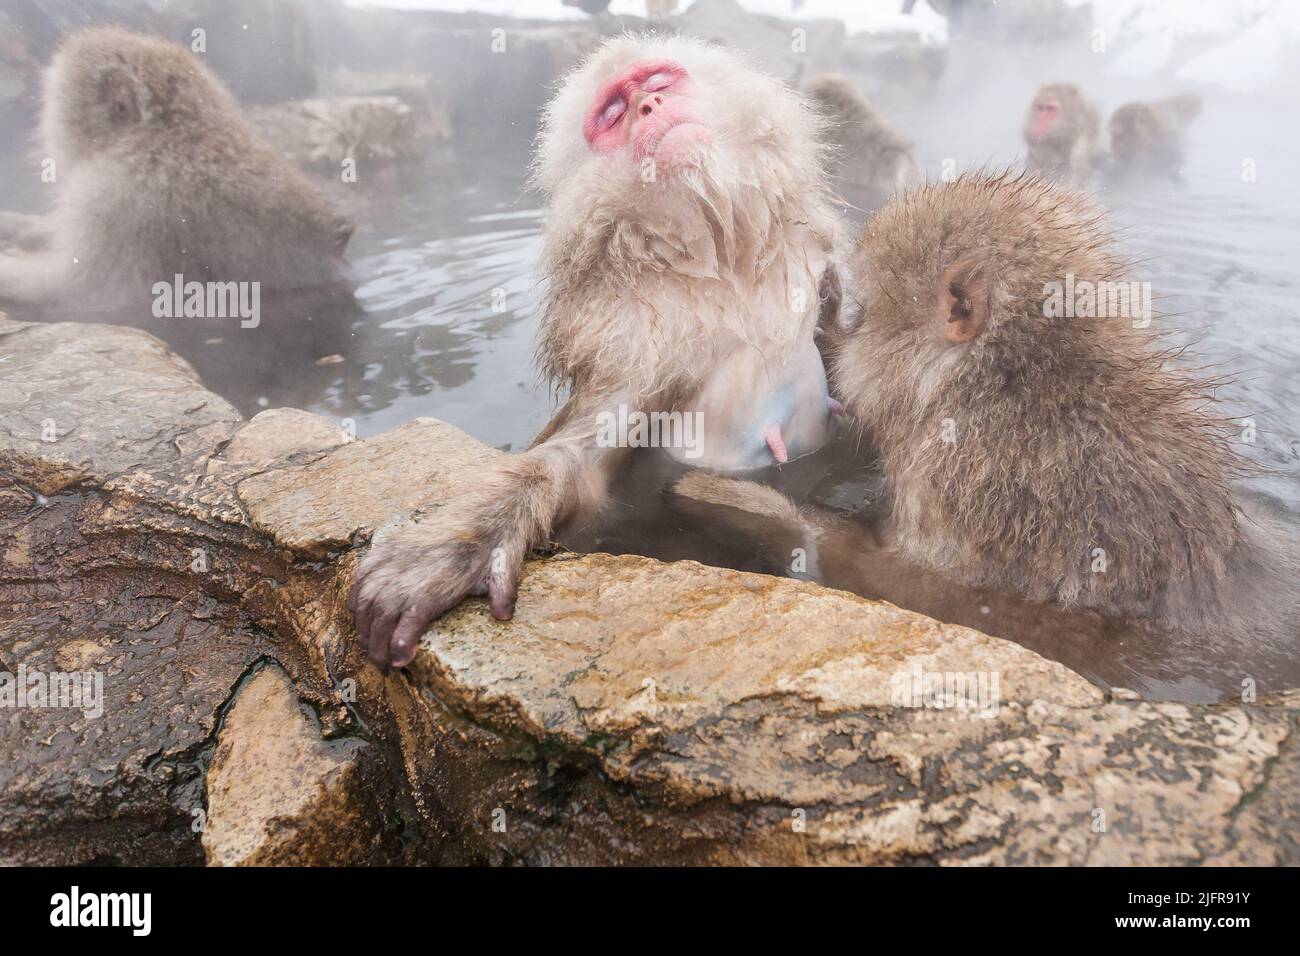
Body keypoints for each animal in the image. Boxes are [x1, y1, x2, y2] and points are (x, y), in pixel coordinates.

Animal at [350, 34, 843, 668]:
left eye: (656, 81)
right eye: (613, 114)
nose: (650, 107)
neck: (719, 259)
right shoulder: (641, 344)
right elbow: (583, 458)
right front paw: (463, 543)